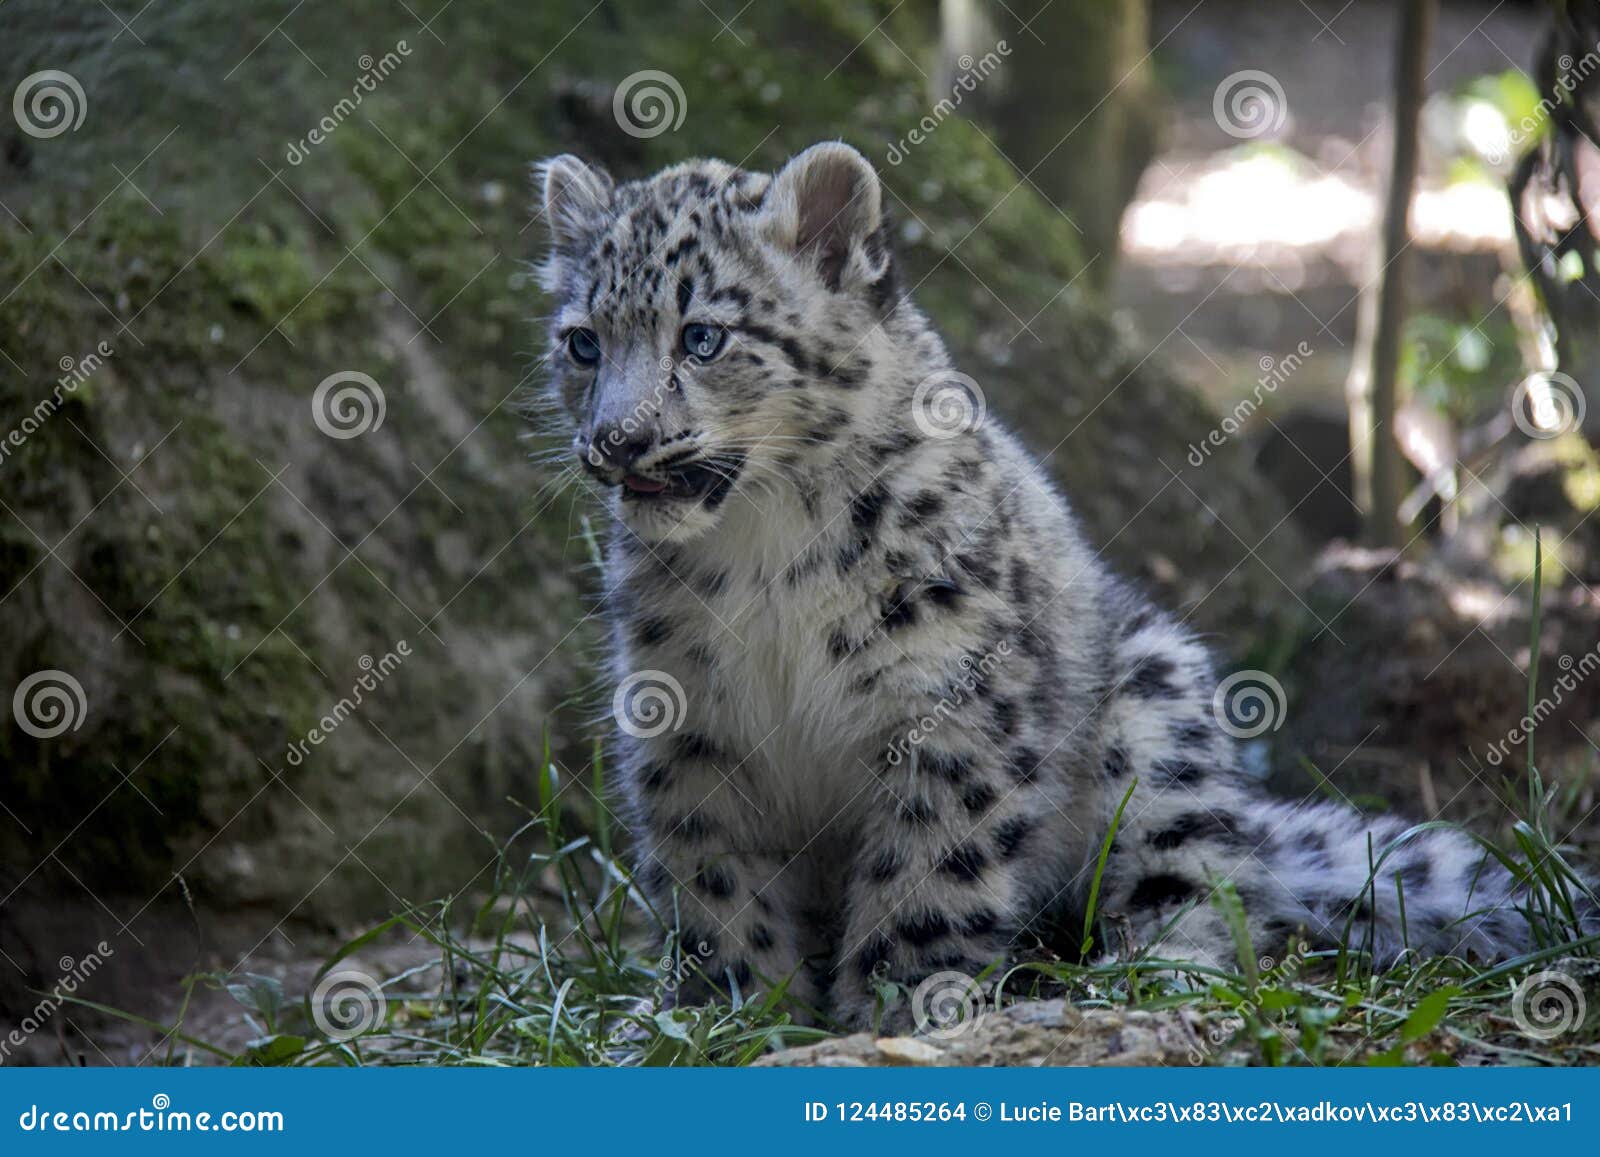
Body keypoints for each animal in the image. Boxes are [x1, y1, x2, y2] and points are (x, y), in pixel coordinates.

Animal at [532, 140, 1594, 1030]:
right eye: (583, 342)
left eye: (703, 336)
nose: (615, 440)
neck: (764, 550)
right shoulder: (687, 730)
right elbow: (717, 887)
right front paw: (731, 1013)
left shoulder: (955, 708)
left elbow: (930, 870)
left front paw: (898, 1009)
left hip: (1157, 714)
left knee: (1210, 891)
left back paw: (1129, 978)